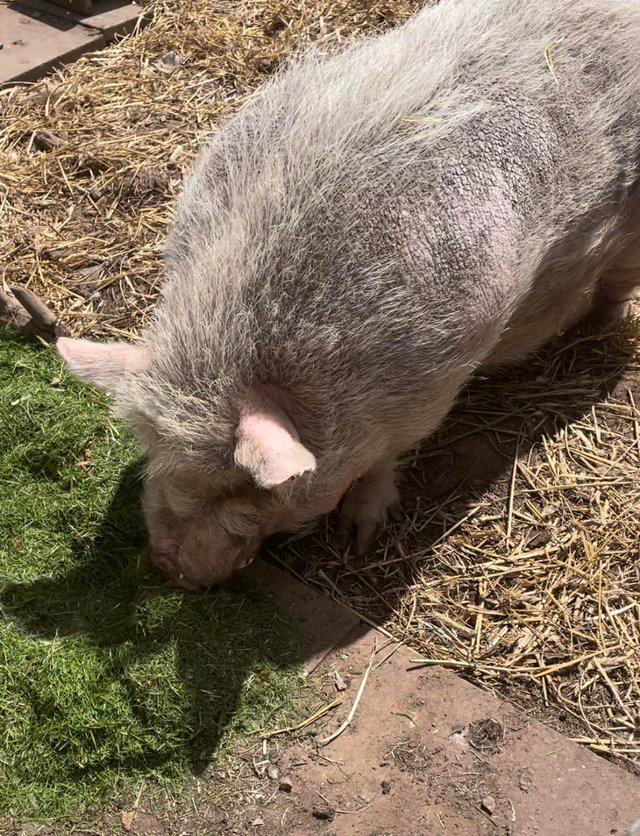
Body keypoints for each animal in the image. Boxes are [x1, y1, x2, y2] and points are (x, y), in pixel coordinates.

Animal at [57, 0, 640, 589]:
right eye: (154, 452)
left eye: (243, 486)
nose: (169, 568)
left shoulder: (432, 388)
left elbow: (383, 463)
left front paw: (359, 538)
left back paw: (599, 326)